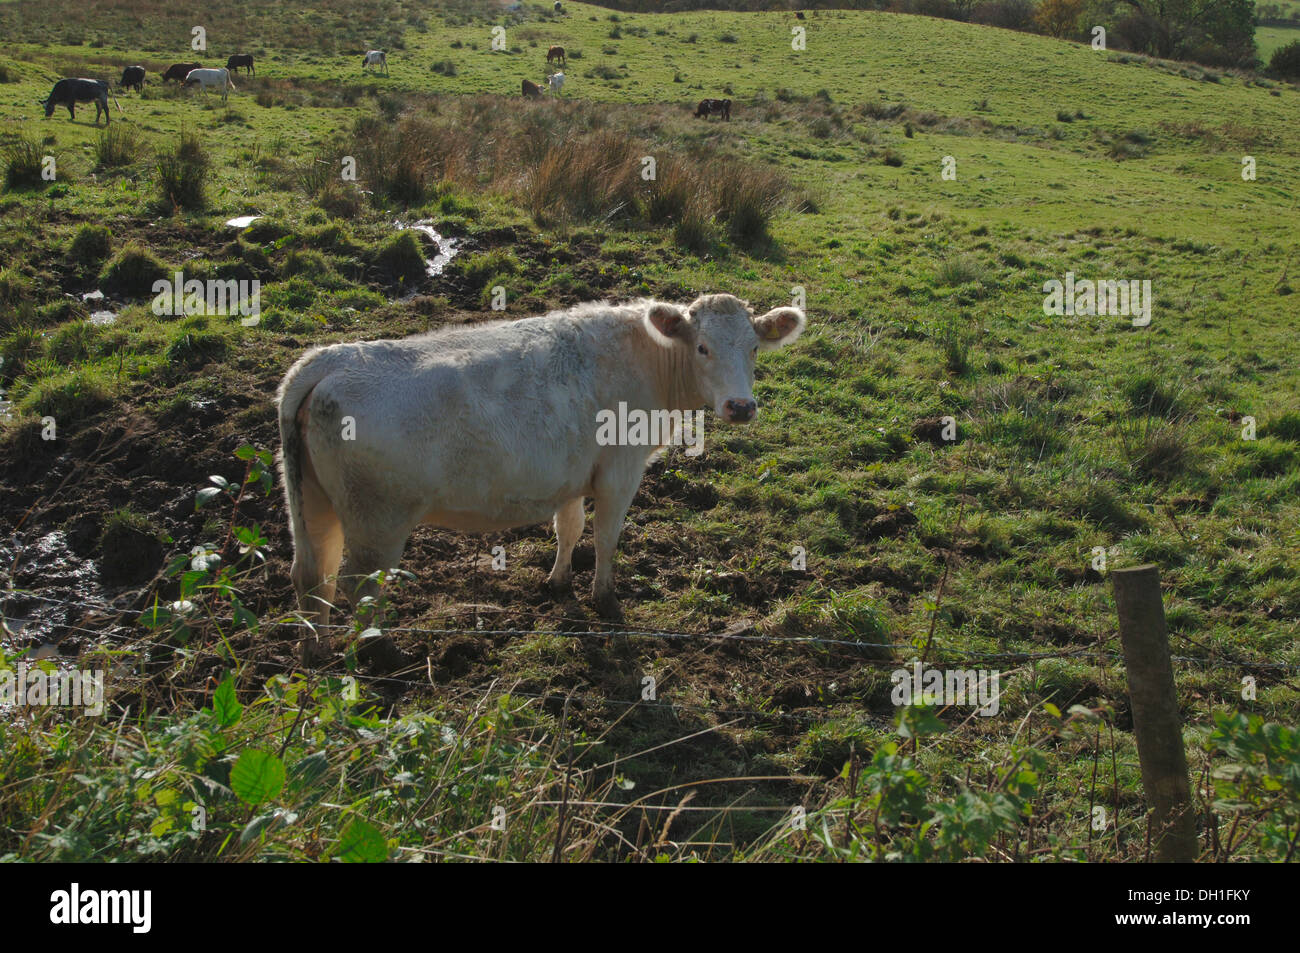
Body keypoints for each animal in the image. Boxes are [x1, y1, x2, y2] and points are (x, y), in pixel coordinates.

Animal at [276, 294, 806, 665]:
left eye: (754, 348)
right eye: (702, 346)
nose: (741, 406)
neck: (649, 362)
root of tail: (329, 359)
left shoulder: (571, 473)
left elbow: (569, 528)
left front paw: (558, 582)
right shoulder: (620, 471)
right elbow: (606, 537)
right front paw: (605, 600)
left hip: (312, 502)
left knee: (311, 574)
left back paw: (314, 652)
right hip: (377, 518)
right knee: (356, 584)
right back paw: (382, 652)